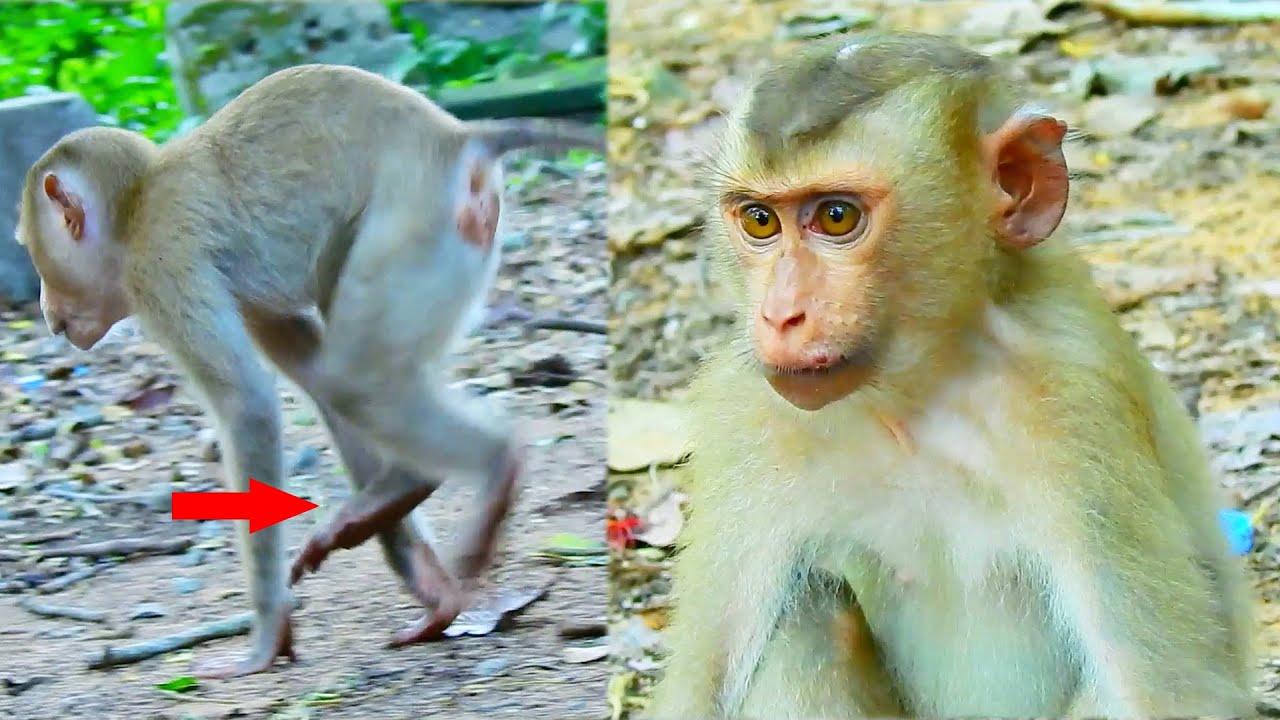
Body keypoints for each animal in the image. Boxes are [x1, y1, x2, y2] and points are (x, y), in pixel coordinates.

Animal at [13, 63, 604, 679]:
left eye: (35, 252)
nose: (47, 312)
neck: (136, 205)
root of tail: (457, 138)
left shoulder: (159, 266)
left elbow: (249, 405)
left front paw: (267, 632)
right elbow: (304, 363)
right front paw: (426, 583)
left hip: (417, 228)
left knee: (357, 381)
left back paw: (483, 467)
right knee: (346, 376)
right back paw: (404, 508)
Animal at [647, 32, 1255, 719]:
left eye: (836, 217)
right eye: (759, 221)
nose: (780, 315)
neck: (918, 390)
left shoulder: (1077, 401)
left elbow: (1167, 691)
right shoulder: (746, 413)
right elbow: (702, 687)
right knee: (810, 618)